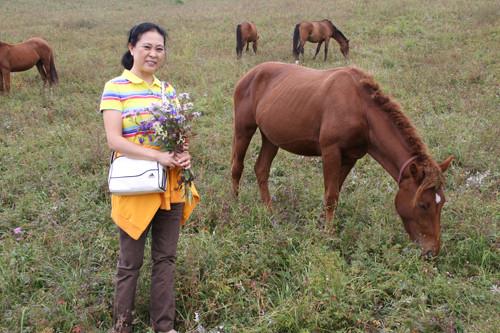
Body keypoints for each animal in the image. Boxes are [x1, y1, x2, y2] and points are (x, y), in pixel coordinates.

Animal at [232, 61, 456, 254]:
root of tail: (250, 74)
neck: (361, 109)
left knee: (261, 169)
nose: (432, 251)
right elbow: (331, 196)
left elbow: (335, 192)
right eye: (423, 205)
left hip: (270, 137)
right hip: (244, 128)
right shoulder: (330, 151)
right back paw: (234, 206)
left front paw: (323, 223)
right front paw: (328, 235)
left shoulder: (350, 157)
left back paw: (269, 211)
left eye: (441, 202)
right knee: (237, 167)